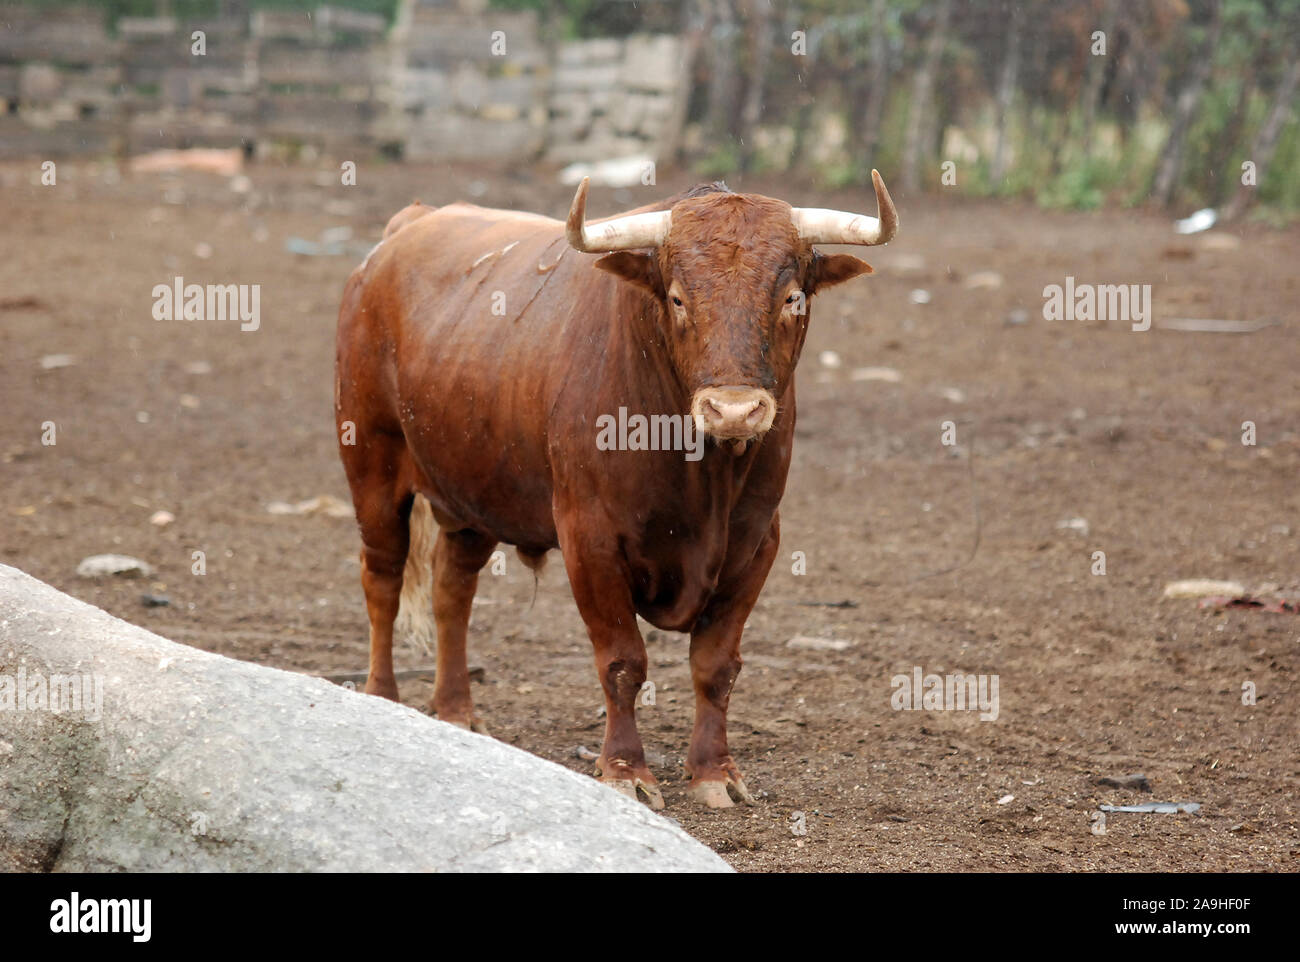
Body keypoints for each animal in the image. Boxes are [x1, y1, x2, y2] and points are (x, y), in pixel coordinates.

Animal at [335, 171, 898, 808]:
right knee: (382, 579)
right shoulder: (590, 540)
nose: (733, 410)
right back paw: (383, 697)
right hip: (372, 464)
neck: (705, 475)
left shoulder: (758, 544)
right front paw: (626, 770)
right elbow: (623, 662)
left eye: (791, 298)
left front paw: (714, 772)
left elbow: (716, 665)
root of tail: (405, 229)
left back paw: (456, 712)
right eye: (677, 298)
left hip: (472, 496)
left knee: (453, 591)